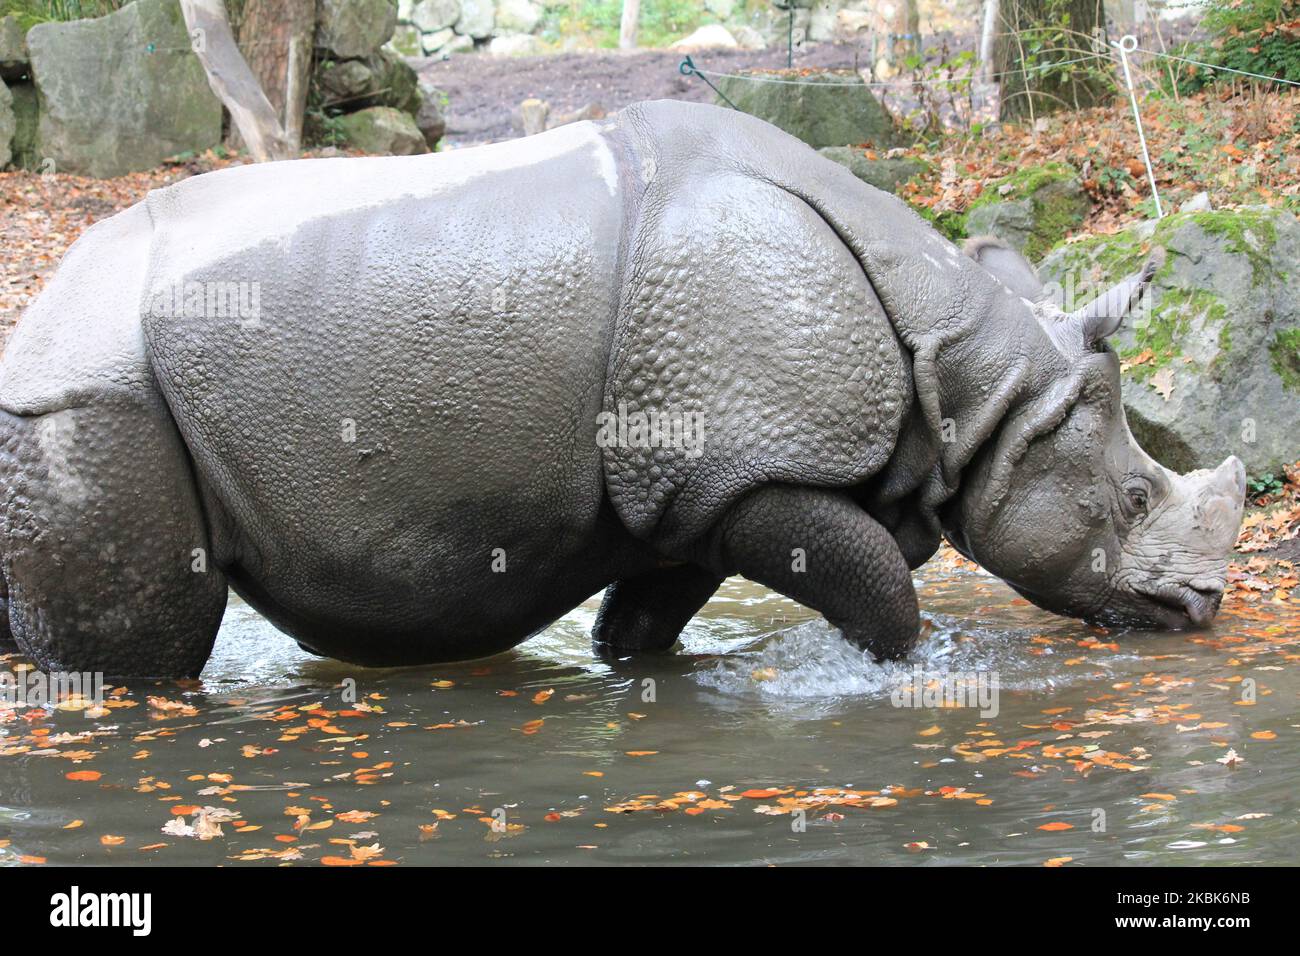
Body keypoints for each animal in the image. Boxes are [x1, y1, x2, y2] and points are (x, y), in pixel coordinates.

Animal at [0, 101, 1246, 678]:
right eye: (1133, 500)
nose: (1203, 609)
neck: (974, 384)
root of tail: (39, 316)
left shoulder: (703, 481)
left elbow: (645, 616)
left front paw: (632, 667)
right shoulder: (759, 466)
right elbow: (883, 591)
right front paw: (906, 671)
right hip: (91, 399)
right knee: (144, 653)